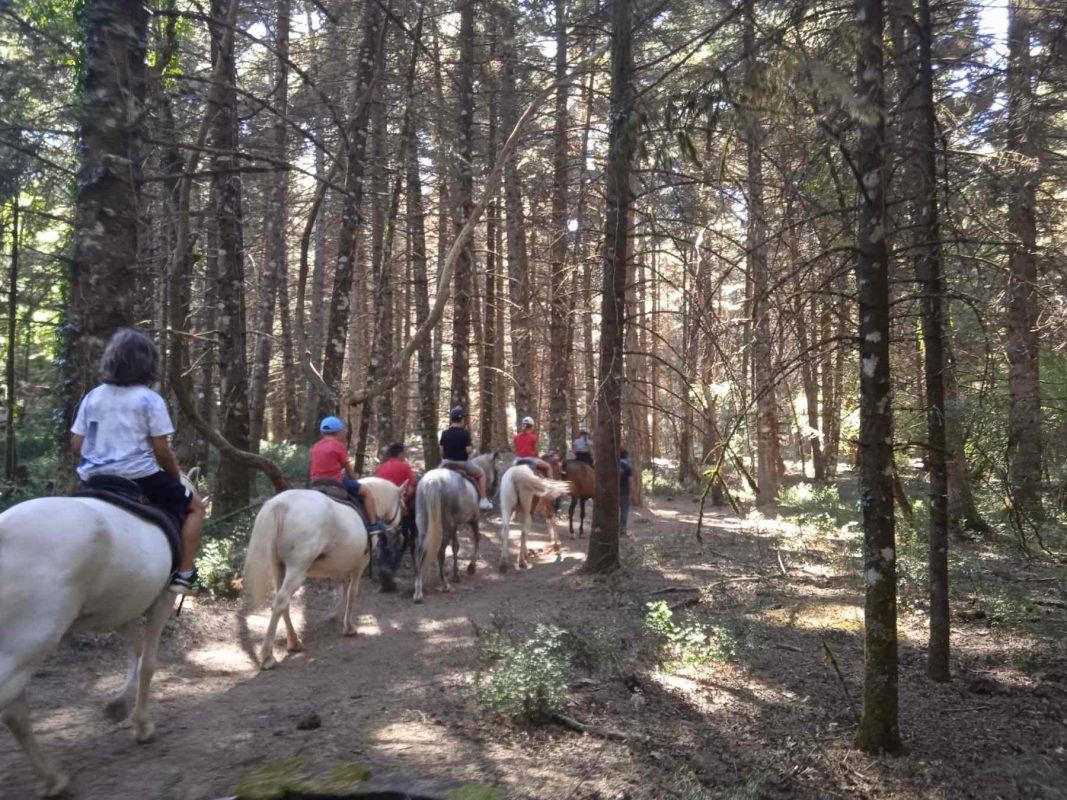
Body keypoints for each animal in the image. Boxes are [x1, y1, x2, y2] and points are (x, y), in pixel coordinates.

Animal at [0, 468, 200, 798]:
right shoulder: (161, 600)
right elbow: (148, 662)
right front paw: (142, 725)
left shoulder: (122, 609)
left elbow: (136, 653)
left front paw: (119, 705)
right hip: (31, 641)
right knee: (13, 708)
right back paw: (54, 779)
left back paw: (51, 778)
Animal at [242, 477, 405, 670]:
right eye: (402, 505)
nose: (398, 534)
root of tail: (281, 504)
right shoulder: (359, 565)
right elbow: (352, 593)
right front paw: (348, 626)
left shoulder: (339, 567)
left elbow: (341, 591)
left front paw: (334, 614)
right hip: (297, 569)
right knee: (282, 600)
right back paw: (268, 656)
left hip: (278, 567)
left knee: (282, 604)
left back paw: (294, 642)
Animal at [412, 452, 502, 603]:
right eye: (497, 470)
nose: (495, 491)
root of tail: (432, 482)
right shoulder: (473, 519)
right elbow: (477, 538)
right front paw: (471, 567)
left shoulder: (455, 525)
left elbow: (456, 546)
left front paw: (456, 574)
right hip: (447, 527)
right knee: (440, 552)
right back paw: (445, 584)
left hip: (424, 524)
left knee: (420, 552)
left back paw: (418, 592)